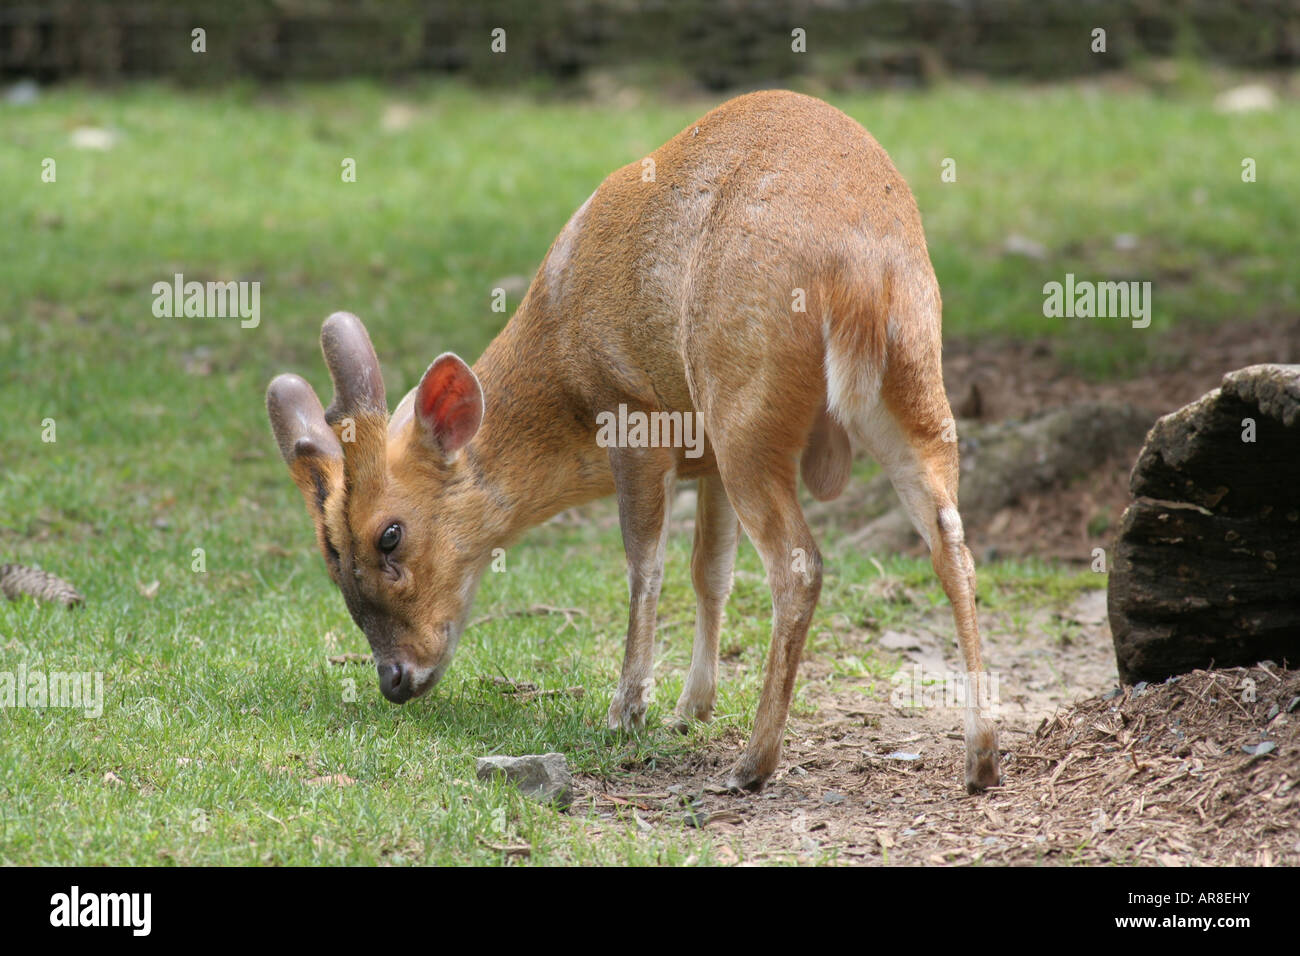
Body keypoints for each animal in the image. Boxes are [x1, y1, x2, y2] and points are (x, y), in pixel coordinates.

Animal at [266, 90, 1001, 794]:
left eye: (389, 535)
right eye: (331, 558)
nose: (395, 679)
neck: (560, 360)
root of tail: (860, 273)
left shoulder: (636, 412)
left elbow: (645, 563)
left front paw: (629, 709)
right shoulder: (703, 456)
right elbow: (710, 571)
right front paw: (691, 708)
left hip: (743, 400)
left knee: (799, 564)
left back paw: (752, 765)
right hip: (914, 382)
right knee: (952, 544)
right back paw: (981, 758)